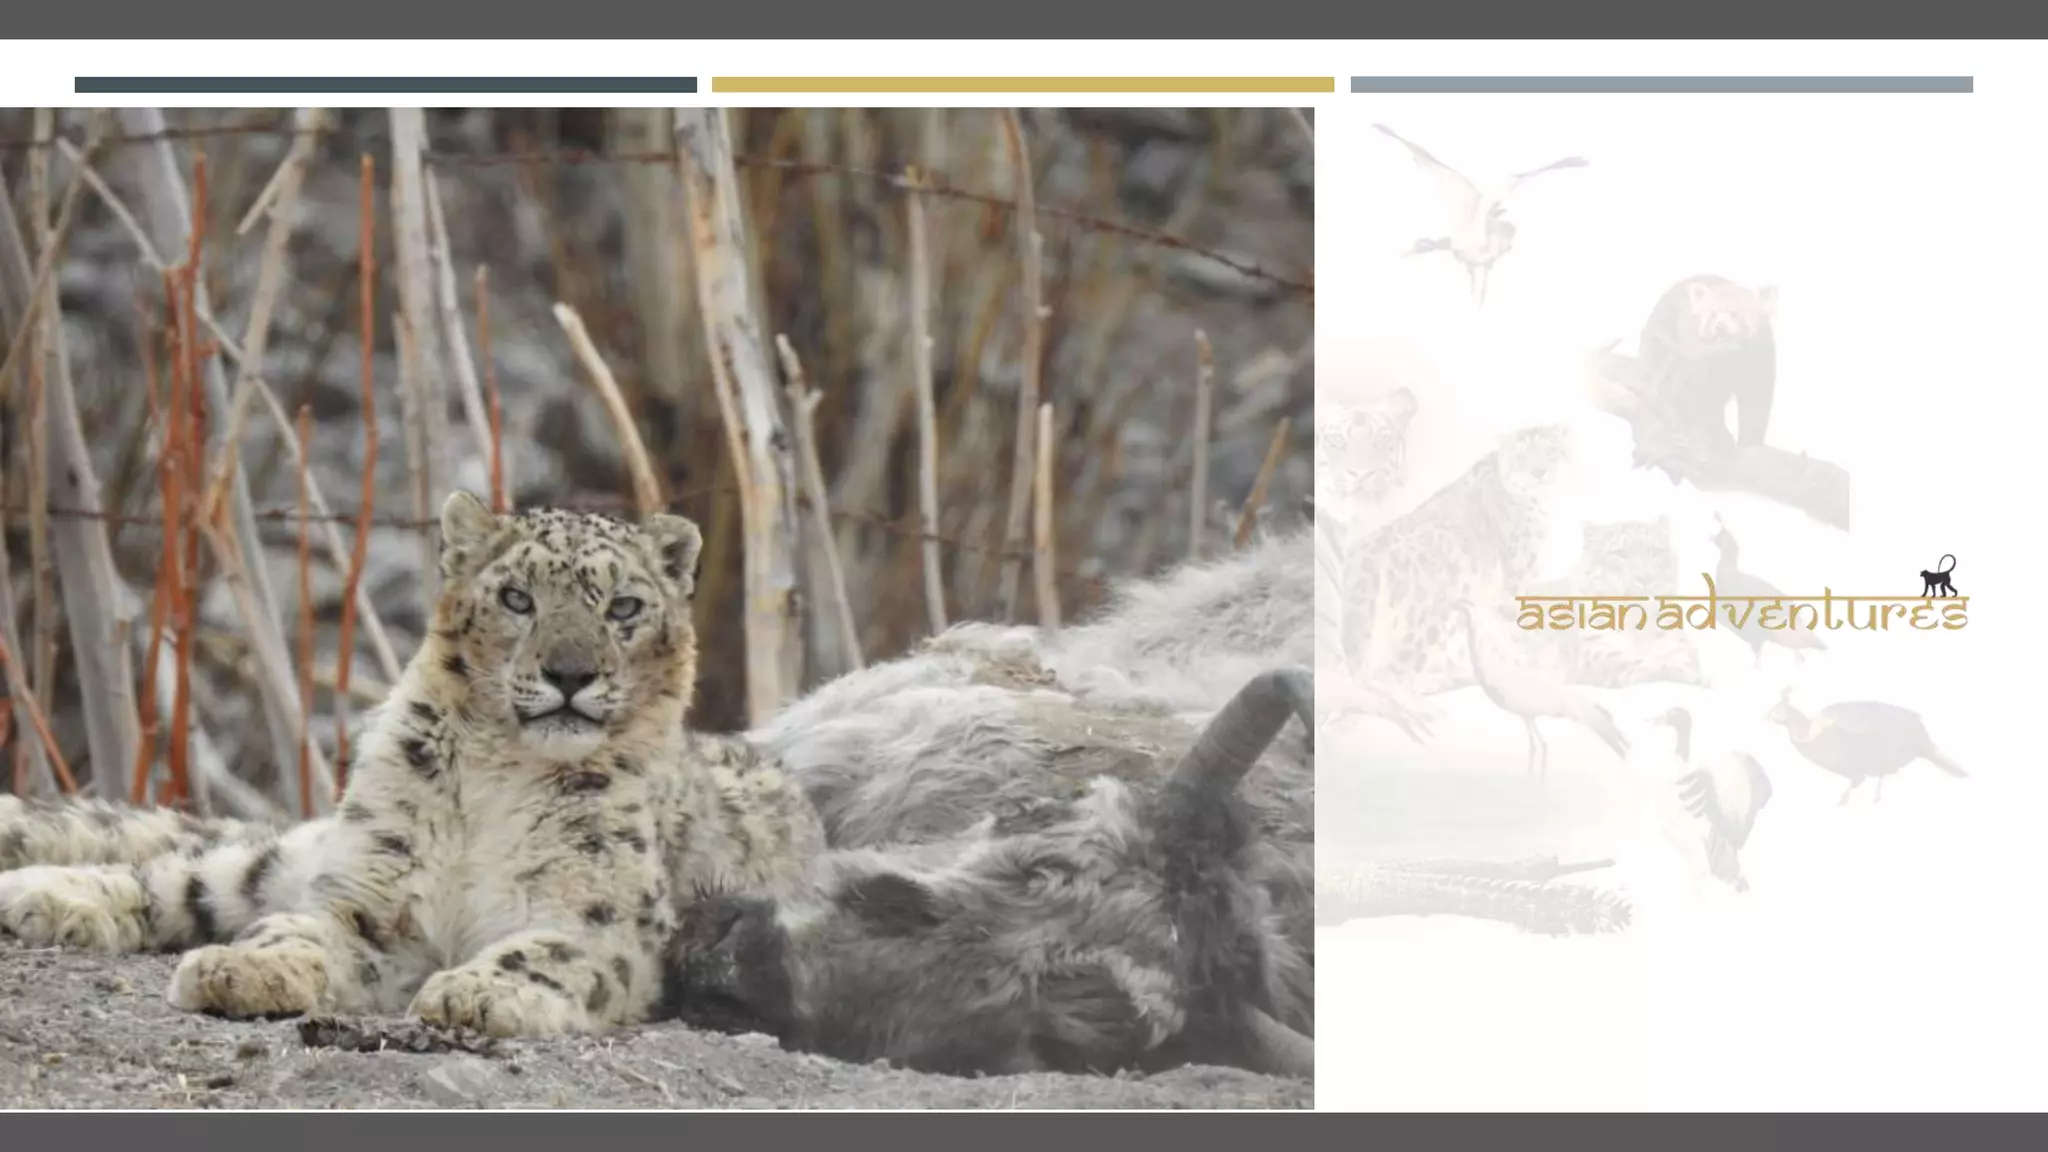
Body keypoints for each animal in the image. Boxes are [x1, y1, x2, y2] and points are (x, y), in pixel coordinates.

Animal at [0, 491, 823, 1038]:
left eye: (623, 608)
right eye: (518, 598)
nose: (569, 673)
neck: (501, 776)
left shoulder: (598, 919)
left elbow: (546, 953)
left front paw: (476, 994)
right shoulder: (372, 901)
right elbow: (297, 932)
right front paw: (241, 971)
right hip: (304, 856)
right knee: (197, 874)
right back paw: (41, 894)